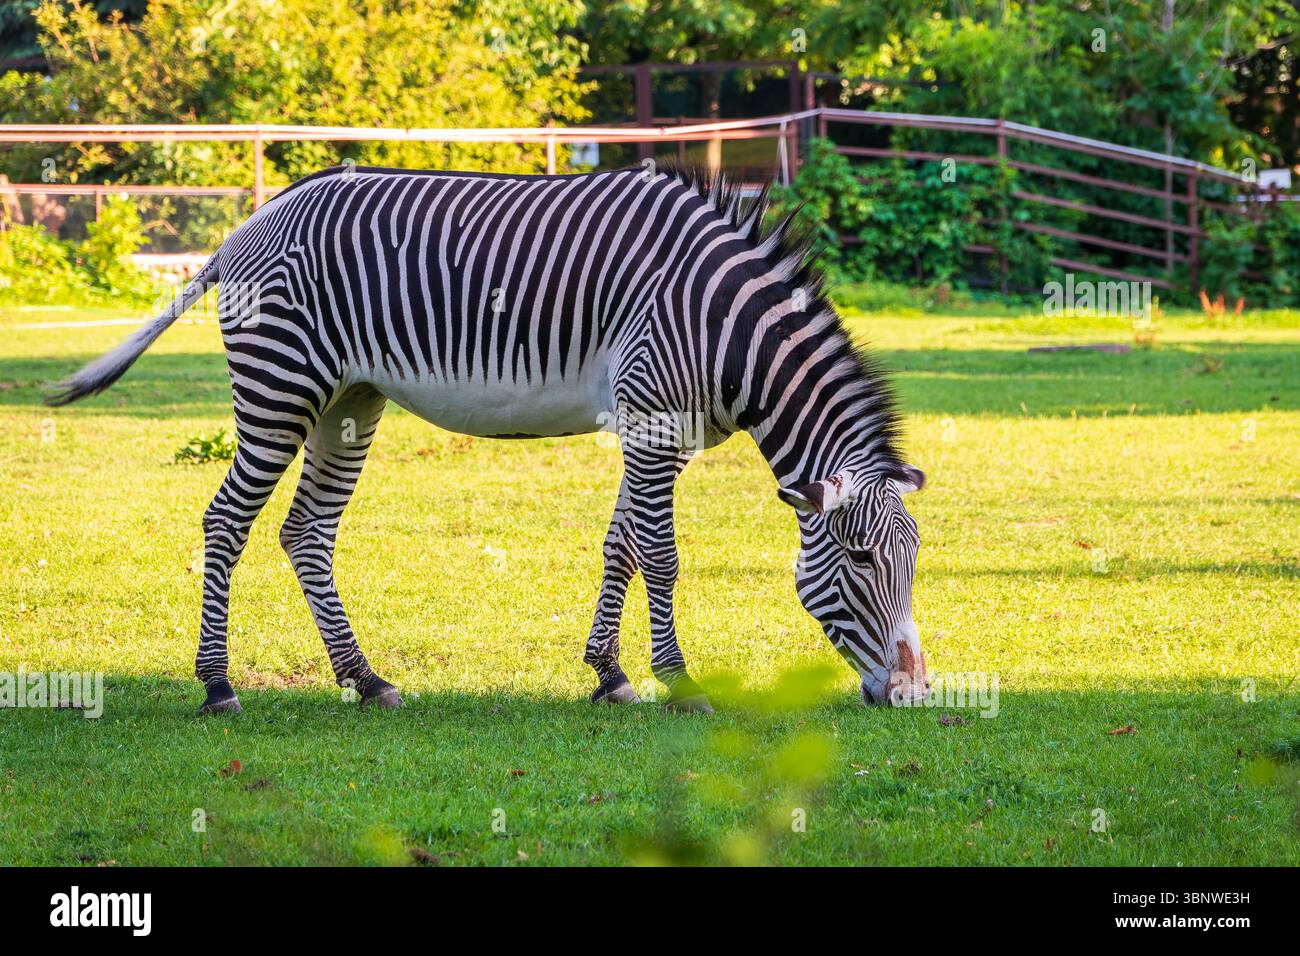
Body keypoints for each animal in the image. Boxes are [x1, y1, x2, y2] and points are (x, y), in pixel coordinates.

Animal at [47, 163, 929, 715]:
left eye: (914, 560)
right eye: (859, 560)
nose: (916, 695)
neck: (726, 323)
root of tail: (250, 224)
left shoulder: (653, 425)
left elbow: (622, 547)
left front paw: (609, 674)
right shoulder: (651, 416)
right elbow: (661, 554)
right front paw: (679, 682)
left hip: (347, 399)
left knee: (306, 531)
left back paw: (366, 680)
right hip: (279, 387)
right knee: (227, 521)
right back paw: (217, 686)